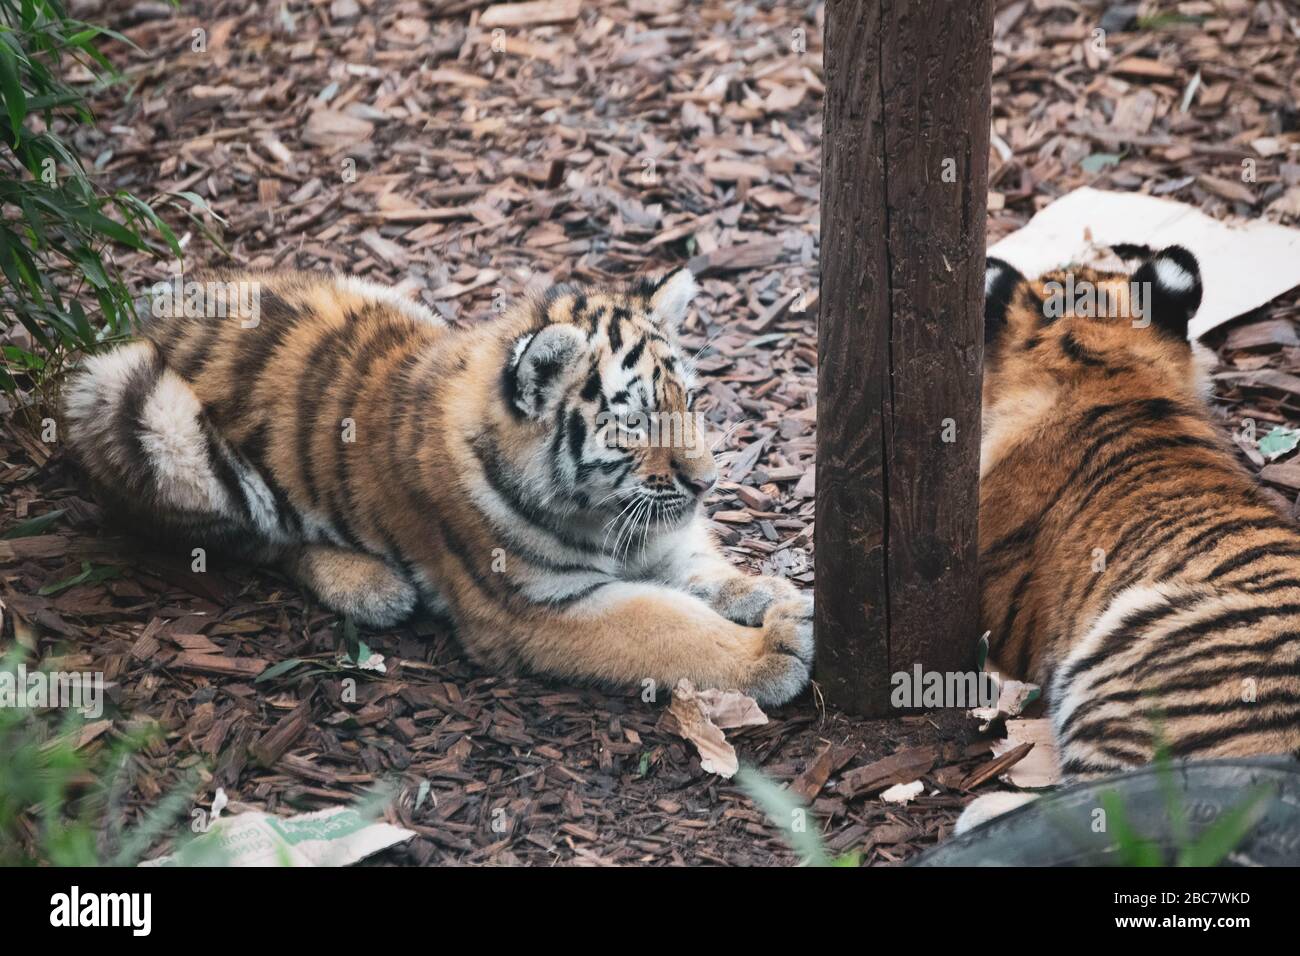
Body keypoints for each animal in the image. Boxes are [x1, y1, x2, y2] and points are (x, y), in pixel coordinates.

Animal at [61, 266, 814, 706]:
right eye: (632, 424)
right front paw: (773, 649)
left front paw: (773, 594)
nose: (708, 482)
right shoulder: (534, 608)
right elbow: (667, 627)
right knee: (256, 539)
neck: (596, 512)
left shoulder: (653, 535)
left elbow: (701, 569)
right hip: (136, 407)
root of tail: (145, 316)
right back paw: (370, 586)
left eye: (691, 401)